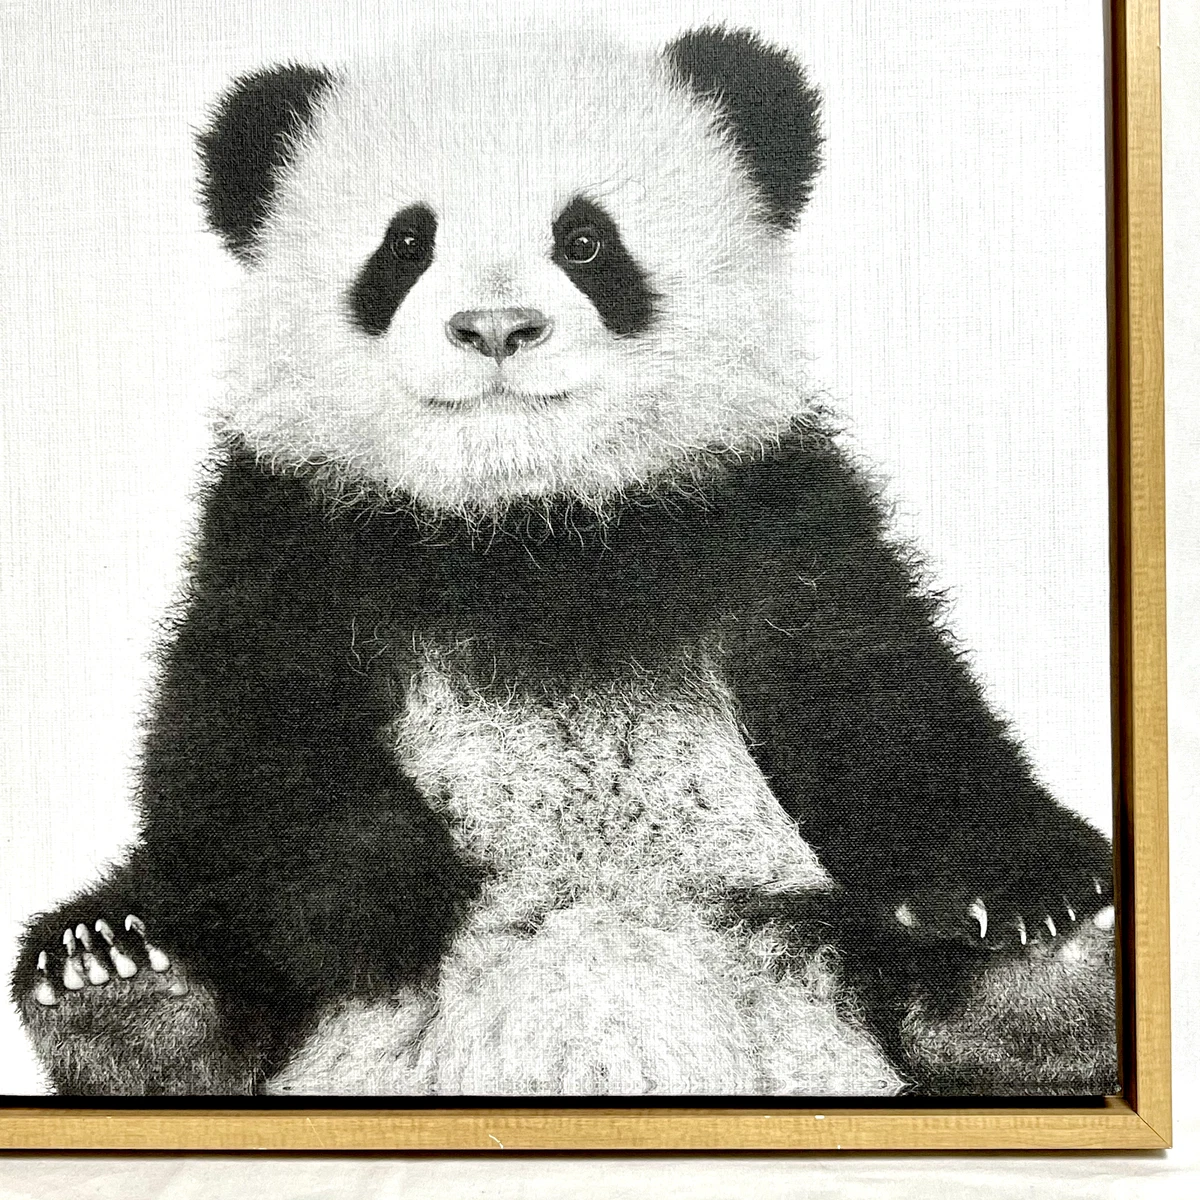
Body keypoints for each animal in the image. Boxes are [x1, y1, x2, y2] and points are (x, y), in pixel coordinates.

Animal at [12, 24, 1116, 1098]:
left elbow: (885, 700)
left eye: (585, 242)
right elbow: (238, 737)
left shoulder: (768, 516)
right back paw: (121, 980)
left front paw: (1029, 896)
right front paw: (377, 904)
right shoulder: (292, 533)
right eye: (406, 244)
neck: (527, 529)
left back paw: (1032, 986)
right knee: (178, 926)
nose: (497, 327)